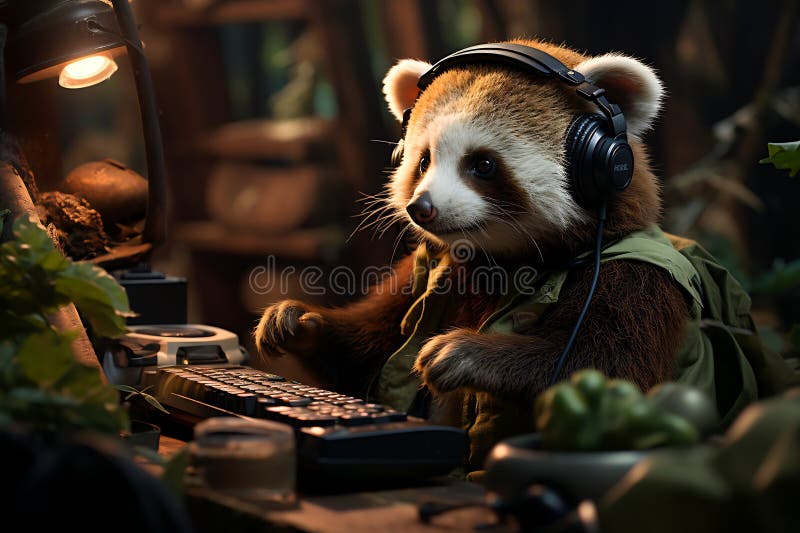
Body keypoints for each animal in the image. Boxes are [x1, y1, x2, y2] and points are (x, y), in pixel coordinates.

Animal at [255, 39, 782, 468]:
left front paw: (466, 351)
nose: (421, 207)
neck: (503, 261)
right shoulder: (430, 268)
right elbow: (369, 348)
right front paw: (298, 321)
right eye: (422, 160)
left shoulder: (635, 275)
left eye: (482, 165)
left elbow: (604, 366)